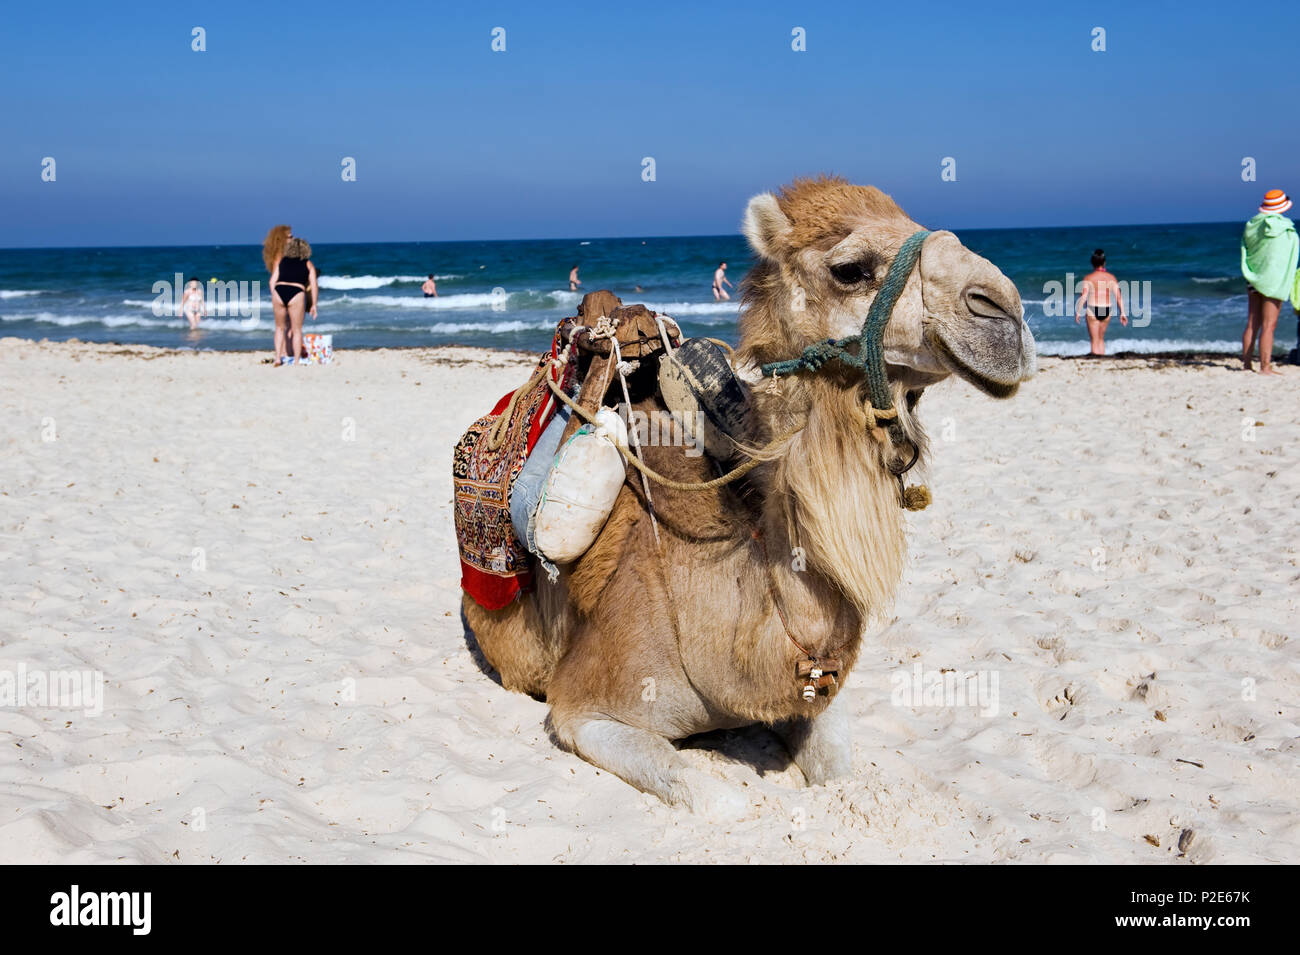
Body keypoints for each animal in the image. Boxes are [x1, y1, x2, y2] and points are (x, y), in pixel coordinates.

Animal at [461, 176, 1036, 818]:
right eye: (850, 269)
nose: (1005, 314)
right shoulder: (582, 704)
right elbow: (724, 804)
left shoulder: (816, 696)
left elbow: (841, 778)